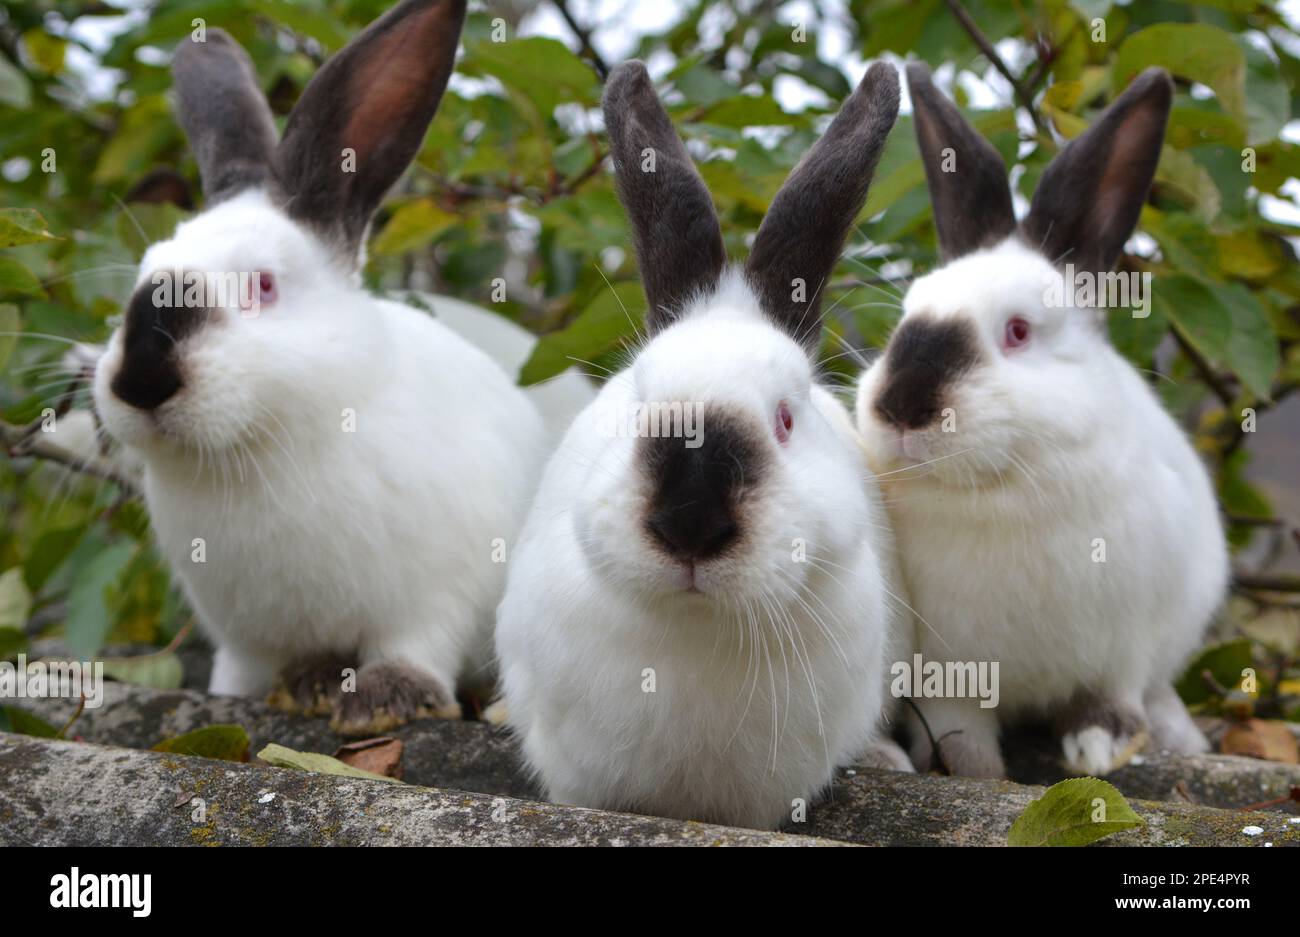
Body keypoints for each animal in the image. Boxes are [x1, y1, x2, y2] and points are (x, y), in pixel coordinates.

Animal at [91, 0, 552, 734]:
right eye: (143, 272)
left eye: (263, 286)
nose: (141, 381)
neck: (260, 450)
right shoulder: (244, 636)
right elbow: (259, 668)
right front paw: (300, 685)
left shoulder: (440, 592)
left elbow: (416, 644)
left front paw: (384, 700)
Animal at [854, 64, 1229, 778]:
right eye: (907, 314)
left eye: (1019, 331)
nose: (904, 407)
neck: (998, 492)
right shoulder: (947, 671)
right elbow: (961, 731)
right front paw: (975, 773)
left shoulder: (1123, 645)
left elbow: (1107, 699)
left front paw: (1101, 749)